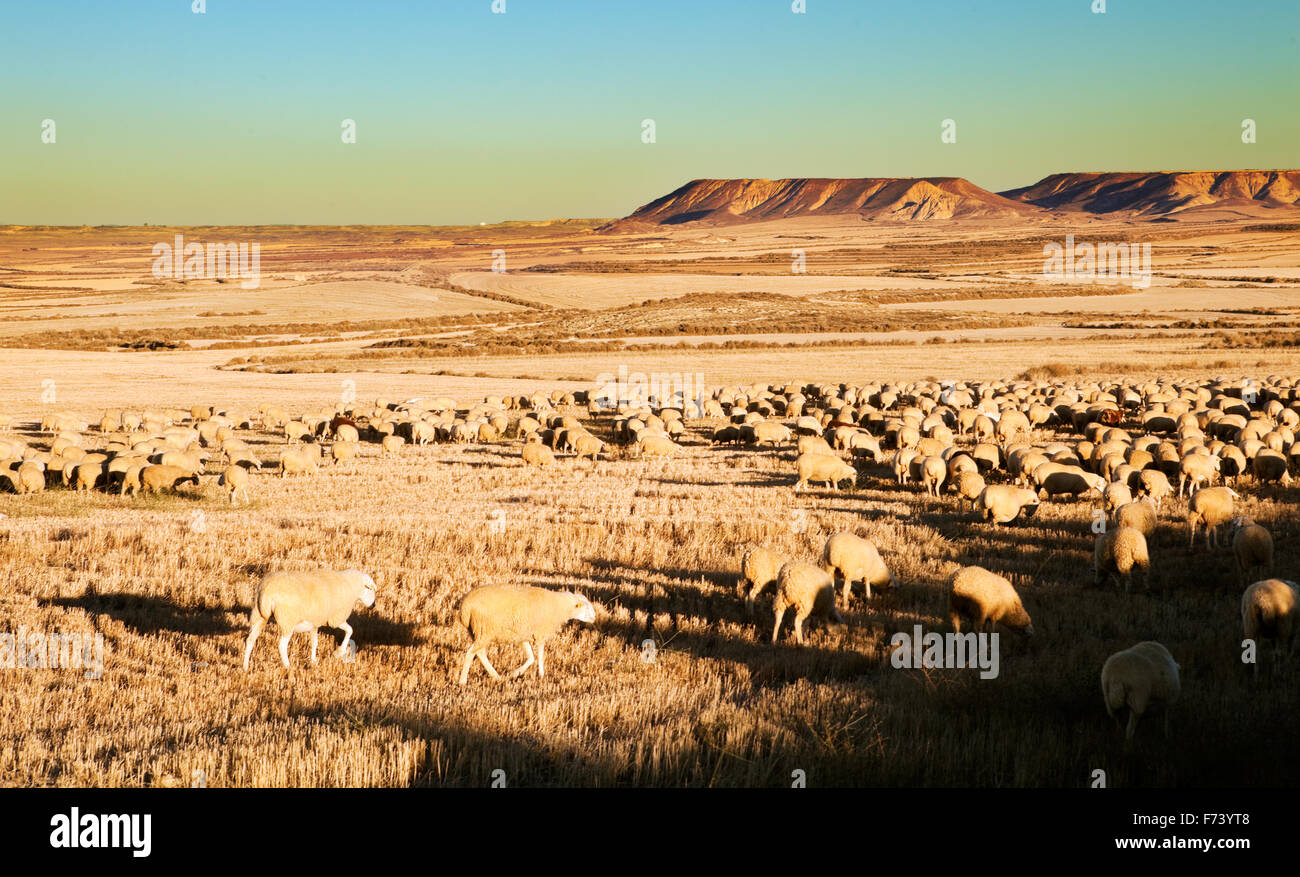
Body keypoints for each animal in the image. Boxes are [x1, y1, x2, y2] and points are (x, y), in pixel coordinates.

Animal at [243, 569, 377, 670]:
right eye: (370, 589)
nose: (373, 605)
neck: (349, 586)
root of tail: (267, 590)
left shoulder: (315, 622)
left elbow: (314, 643)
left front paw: (313, 661)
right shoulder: (335, 619)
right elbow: (350, 630)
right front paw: (339, 652)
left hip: (259, 615)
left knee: (250, 640)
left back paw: (245, 666)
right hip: (287, 620)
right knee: (282, 645)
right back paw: (288, 666)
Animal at [456, 584, 596, 684]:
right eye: (586, 607)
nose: (594, 617)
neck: (560, 607)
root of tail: (465, 608)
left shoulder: (522, 635)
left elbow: (531, 657)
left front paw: (515, 673)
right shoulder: (541, 633)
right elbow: (540, 656)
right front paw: (542, 675)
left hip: (478, 632)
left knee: (480, 653)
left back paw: (496, 676)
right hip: (484, 631)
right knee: (470, 653)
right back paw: (462, 681)